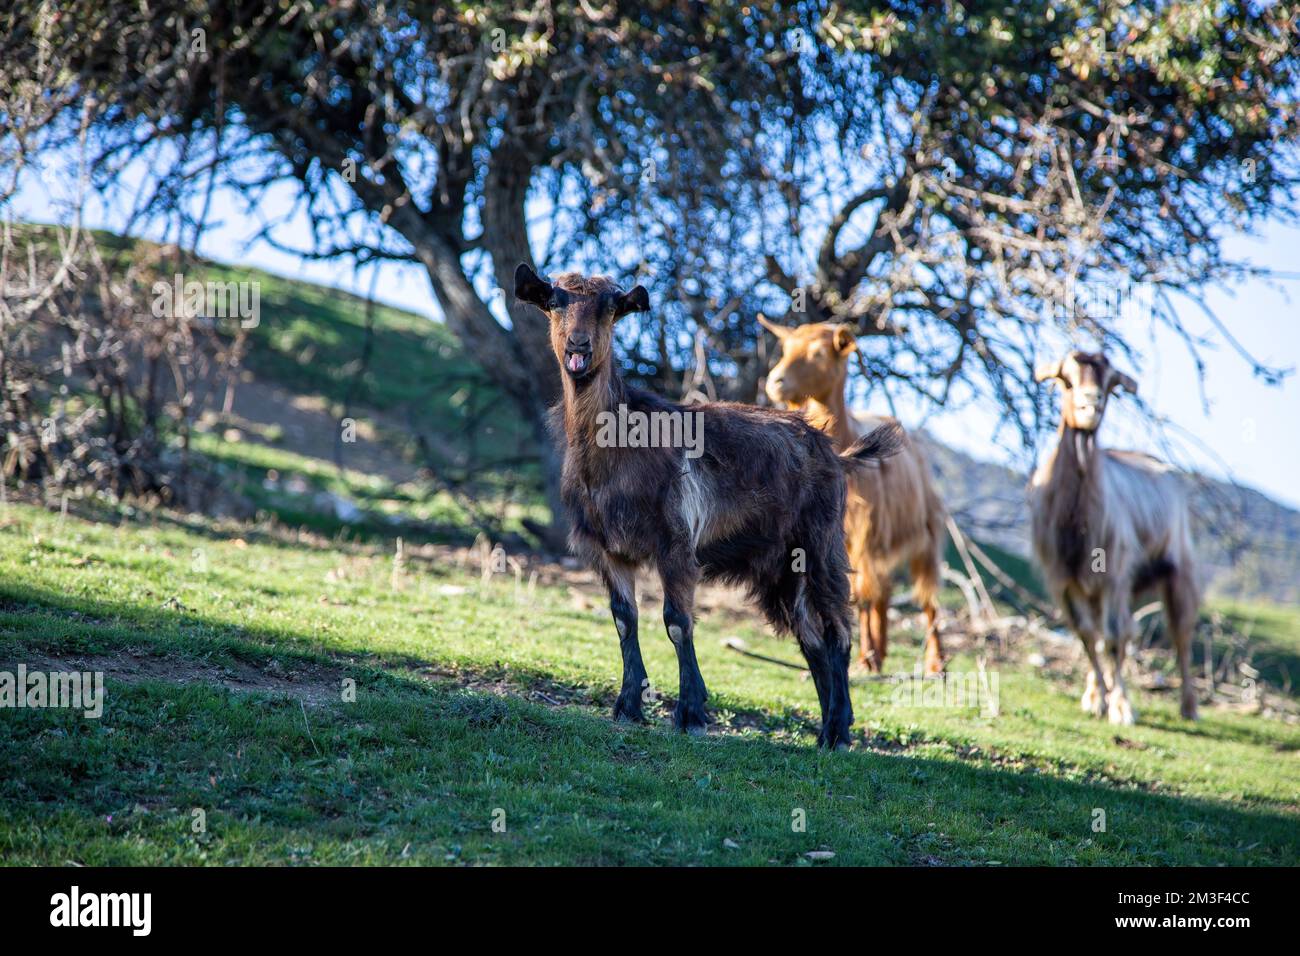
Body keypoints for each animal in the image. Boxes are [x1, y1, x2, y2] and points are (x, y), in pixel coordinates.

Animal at [515, 263, 902, 749]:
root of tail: (837, 453)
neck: (617, 443)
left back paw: (837, 731)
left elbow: (677, 621)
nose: (578, 347)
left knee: (838, 632)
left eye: (610, 308)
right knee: (811, 638)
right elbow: (624, 620)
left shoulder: (675, 542)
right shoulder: (608, 549)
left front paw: (692, 713)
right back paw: (825, 732)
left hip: (821, 545)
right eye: (555, 302)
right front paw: (628, 707)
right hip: (780, 569)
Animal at [761, 316, 947, 674]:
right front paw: (863, 656)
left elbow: (861, 593)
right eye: (786, 347)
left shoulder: (867, 532)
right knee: (884, 588)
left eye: (819, 353)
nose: (775, 382)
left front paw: (864, 658)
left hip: (925, 533)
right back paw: (882, 652)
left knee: (926, 594)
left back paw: (935, 662)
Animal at [1029, 351, 1199, 724]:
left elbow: (1113, 637)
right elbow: (1086, 635)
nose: (1091, 403)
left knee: (1178, 633)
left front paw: (1121, 706)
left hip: (1177, 568)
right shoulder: (1064, 579)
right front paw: (1096, 698)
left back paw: (1189, 706)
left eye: (1109, 384)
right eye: (1068, 380)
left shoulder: (1114, 574)